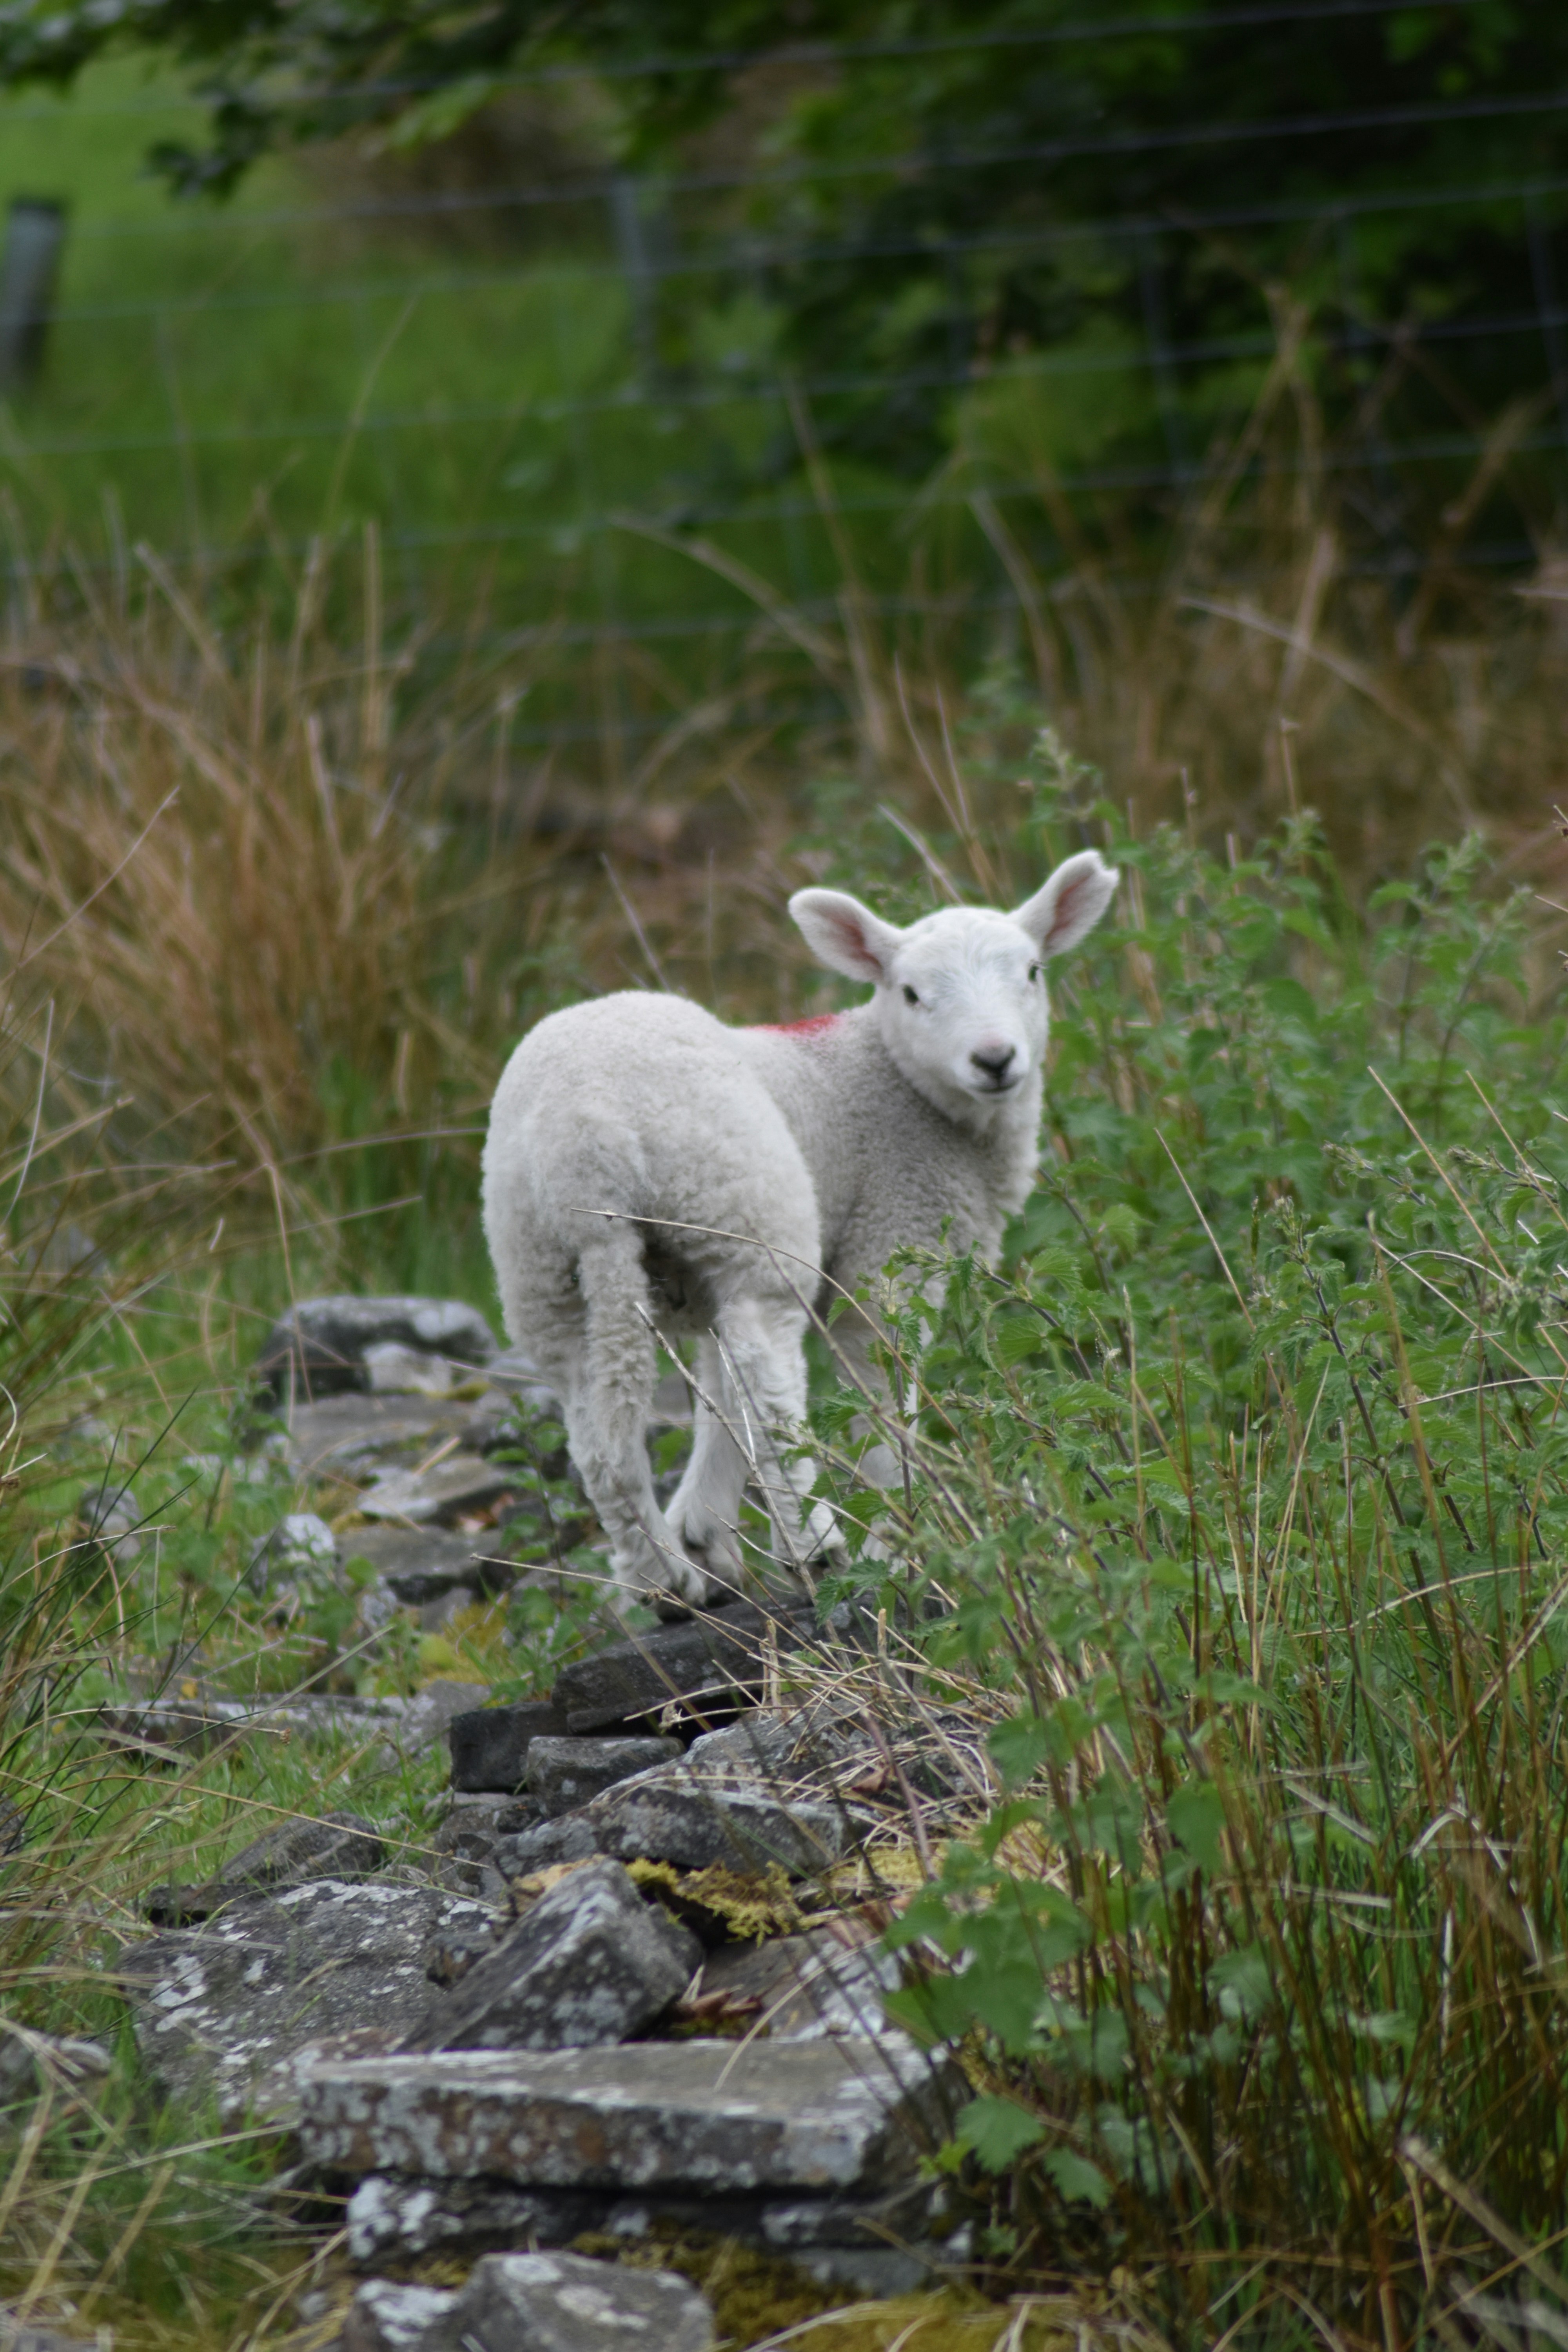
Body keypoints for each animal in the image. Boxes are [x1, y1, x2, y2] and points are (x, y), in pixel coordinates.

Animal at [481, 848, 1119, 1609]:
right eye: (911, 994)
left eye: (1032, 972)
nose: (994, 1059)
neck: (890, 1080)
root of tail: (584, 1140)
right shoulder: (894, 1236)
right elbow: (878, 1385)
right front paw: (897, 1536)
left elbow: (718, 1393)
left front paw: (703, 1531)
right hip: (744, 1202)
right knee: (768, 1376)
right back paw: (816, 1546)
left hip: (545, 1263)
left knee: (599, 1434)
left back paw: (664, 1579)